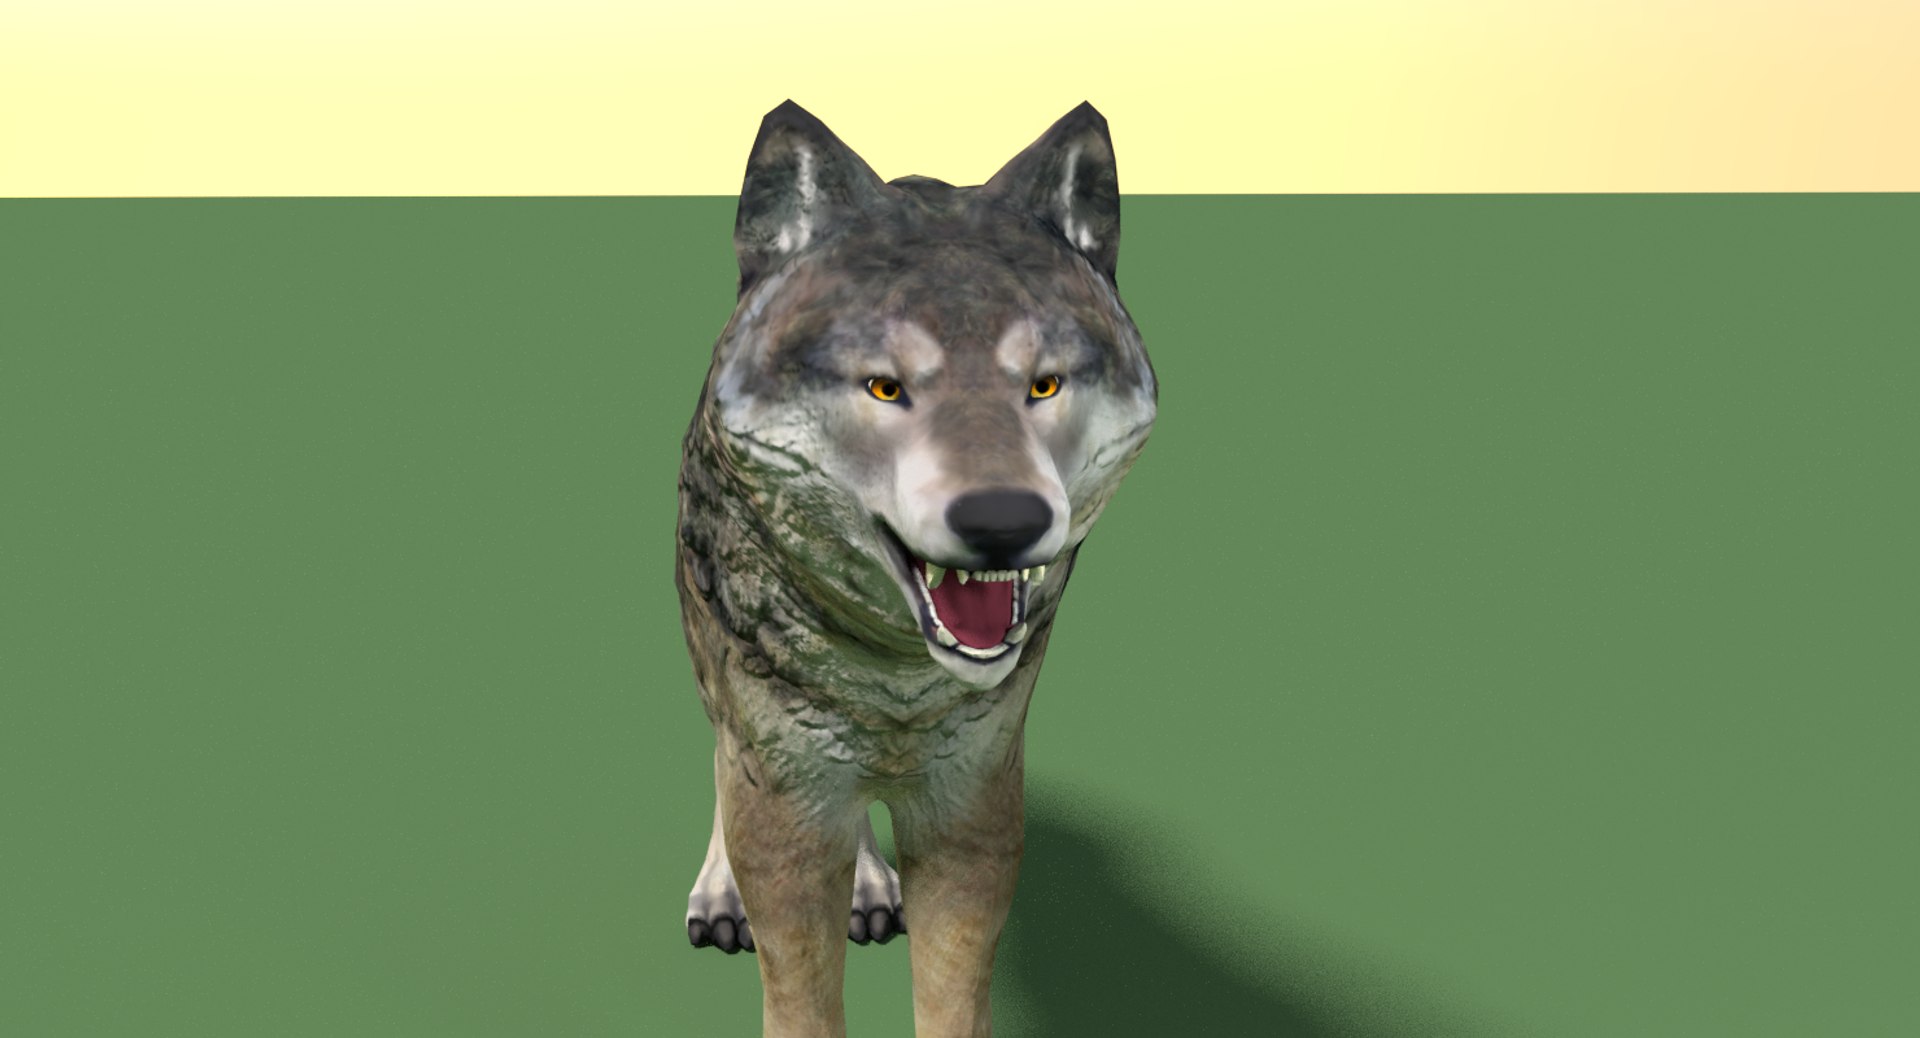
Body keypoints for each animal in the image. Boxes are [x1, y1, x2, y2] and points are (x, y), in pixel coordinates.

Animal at [676, 100, 1157, 1037]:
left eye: (1042, 385)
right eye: (885, 388)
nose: (1004, 519)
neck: (895, 682)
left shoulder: (973, 802)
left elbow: (951, 994)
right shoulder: (784, 799)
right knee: (718, 753)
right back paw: (720, 894)